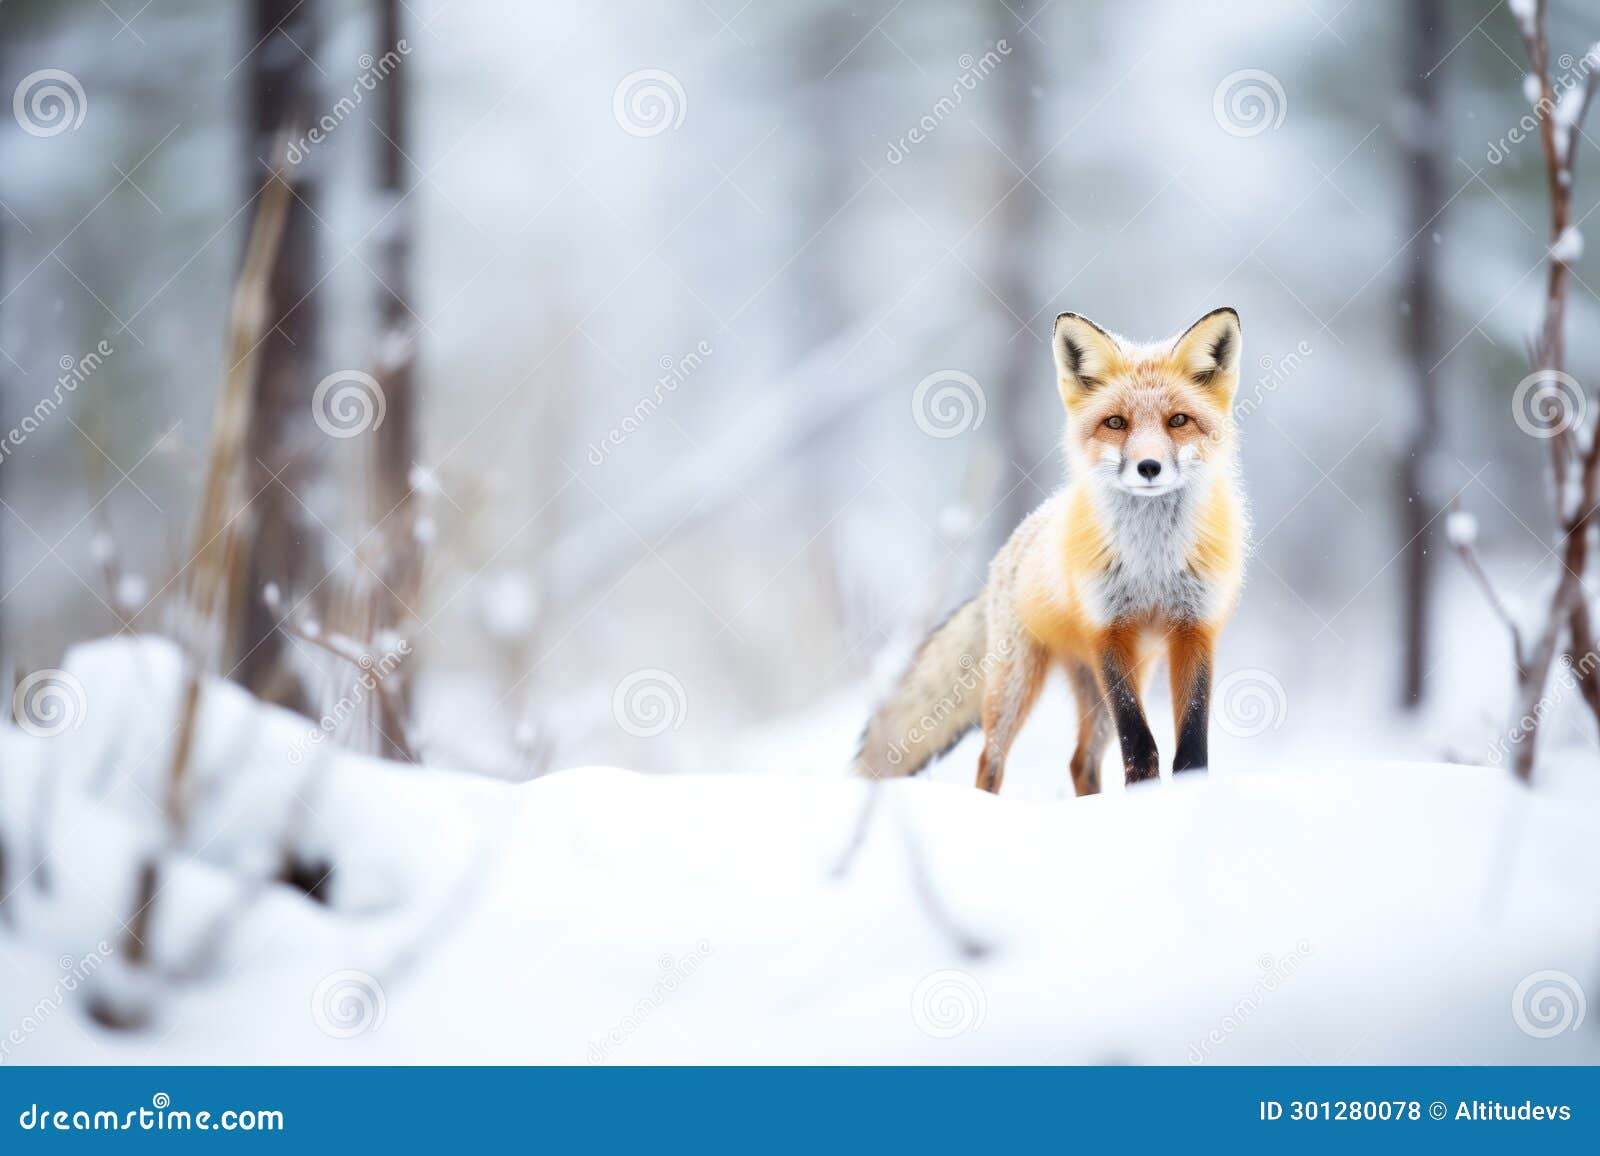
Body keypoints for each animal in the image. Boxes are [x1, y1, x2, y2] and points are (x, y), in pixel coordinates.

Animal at [856, 307, 1247, 795]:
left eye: (1178, 420)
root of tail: (1009, 549)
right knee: (991, 759)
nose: (1149, 467)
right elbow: (1140, 745)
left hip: (1111, 677)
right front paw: (1143, 796)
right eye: (1116, 423)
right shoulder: (1108, 631)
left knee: (1080, 762)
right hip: (1018, 682)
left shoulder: (1195, 628)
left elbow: (1192, 744)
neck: (1151, 562)